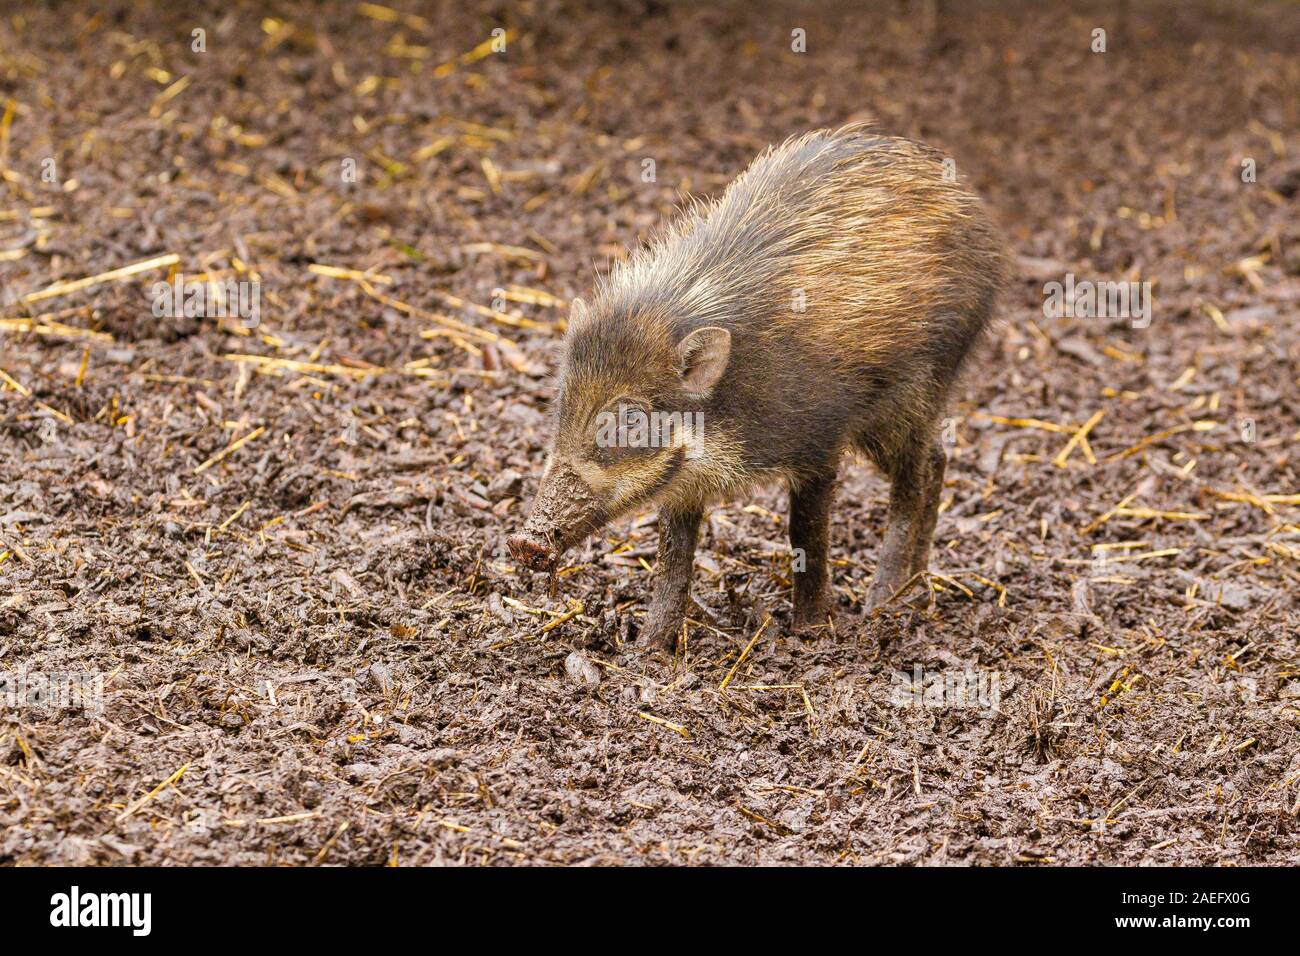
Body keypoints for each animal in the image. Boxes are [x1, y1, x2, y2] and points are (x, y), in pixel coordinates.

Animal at [508, 125, 1008, 651]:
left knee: (914, 477)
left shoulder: (818, 447)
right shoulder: (683, 483)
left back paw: (881, 603)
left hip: (917, 390)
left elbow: (805, 534)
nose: (524, 542)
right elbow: (673, 558)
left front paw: (810, 631)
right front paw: (647, 650)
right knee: (938, 459)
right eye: (562, 402)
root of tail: (973, 209)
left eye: (629, 417)